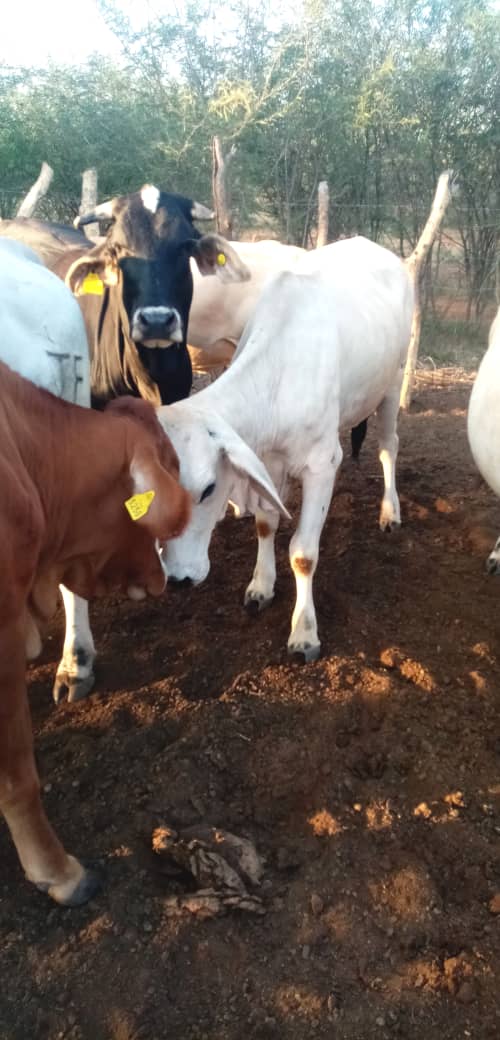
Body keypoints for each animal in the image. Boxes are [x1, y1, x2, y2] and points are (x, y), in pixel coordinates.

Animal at [159, 236, 414, 660]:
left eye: (208, 489)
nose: (177, 578)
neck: (278, 376)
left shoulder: (321, 465)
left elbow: (303, 553)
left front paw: (304, 632)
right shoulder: (265, 462)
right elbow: (265, 524)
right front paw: (261, 586)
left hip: (393, 382)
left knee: (388, 447)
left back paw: (389, 511)